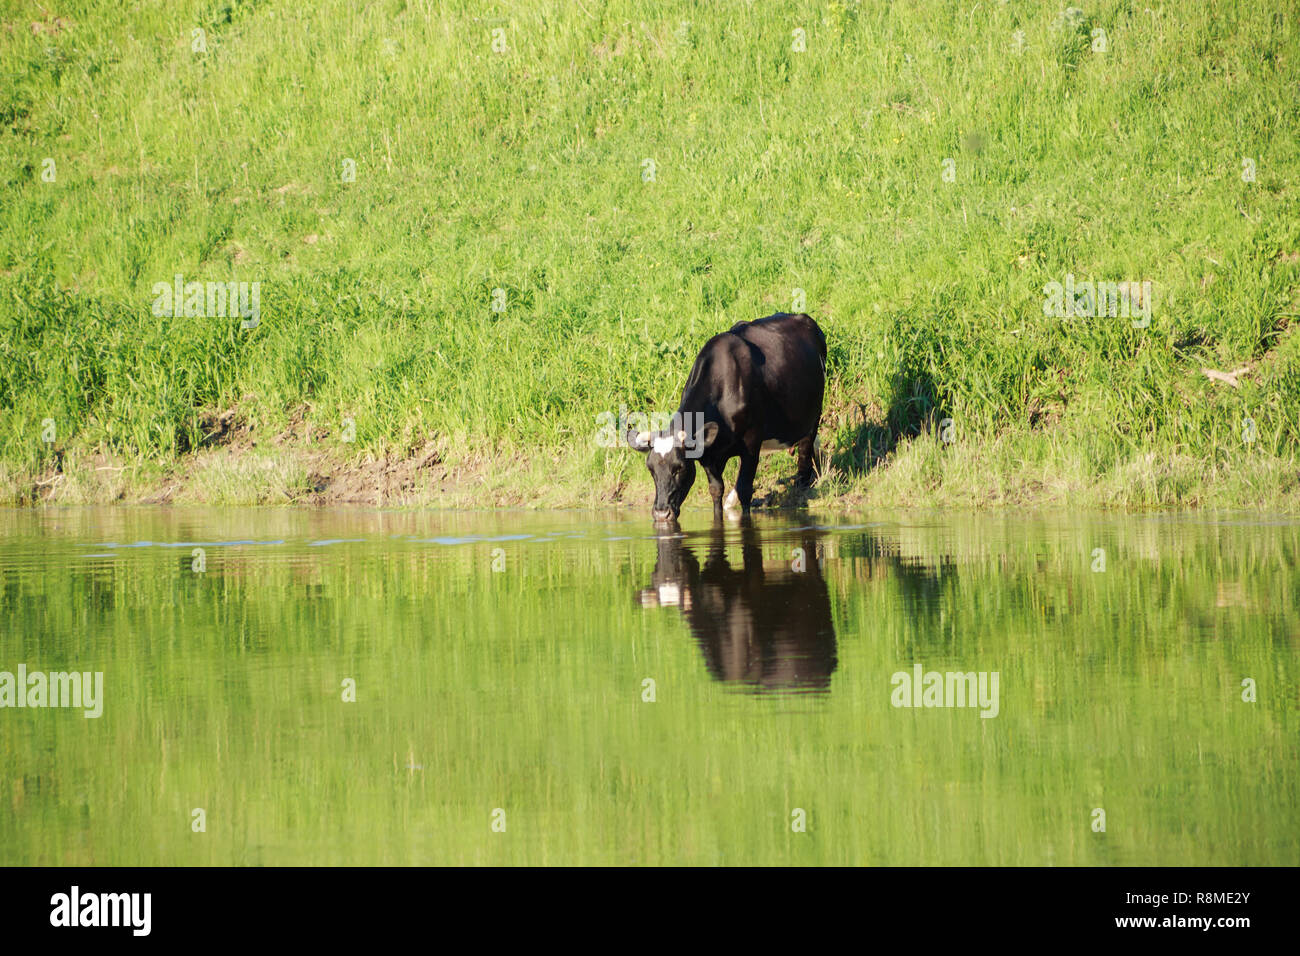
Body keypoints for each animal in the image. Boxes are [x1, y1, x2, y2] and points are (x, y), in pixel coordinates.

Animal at [626, 312, 826, 521]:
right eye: (651, 469)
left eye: (679, 467)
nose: (661, 513)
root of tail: (802, 317)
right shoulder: (708, 455)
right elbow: (716, 489)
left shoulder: (752, 443)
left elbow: (745, 489)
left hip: (814, 414)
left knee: (805, 449)